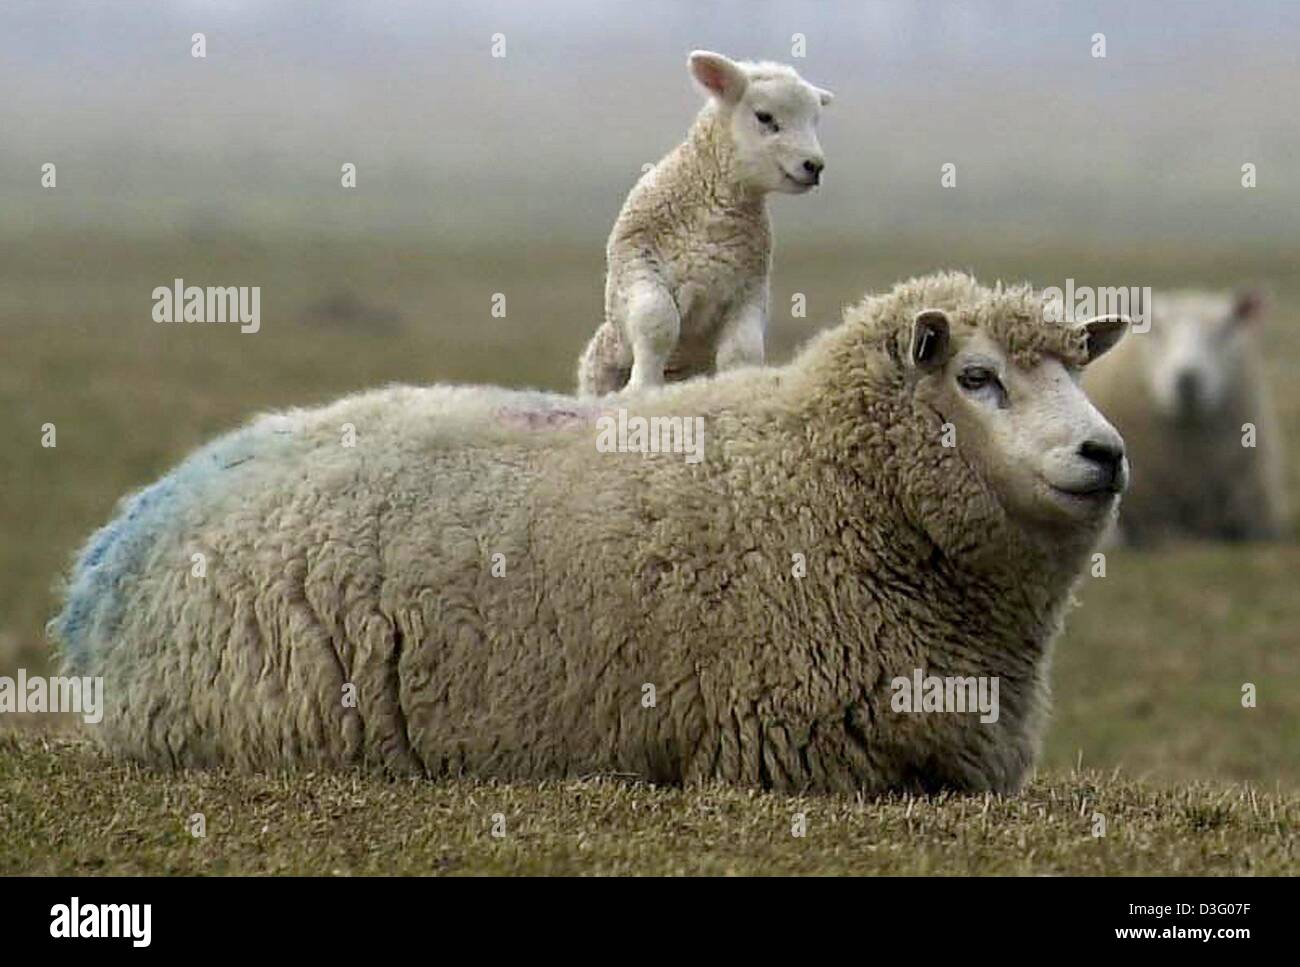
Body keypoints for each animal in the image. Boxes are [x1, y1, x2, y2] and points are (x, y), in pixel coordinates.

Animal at [51, 272, 1130, 794]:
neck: (824, 478)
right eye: (977, 377)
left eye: (1077, 367)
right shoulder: (797, 752)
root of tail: (111, 554)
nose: (1106, 451)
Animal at [576, 50, 833, 396]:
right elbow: (657, 321)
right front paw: (643, 387)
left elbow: (743, 348)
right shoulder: (636, 260)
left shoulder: (749, 287)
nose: (814, 166)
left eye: (814, 120)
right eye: (765, 117)